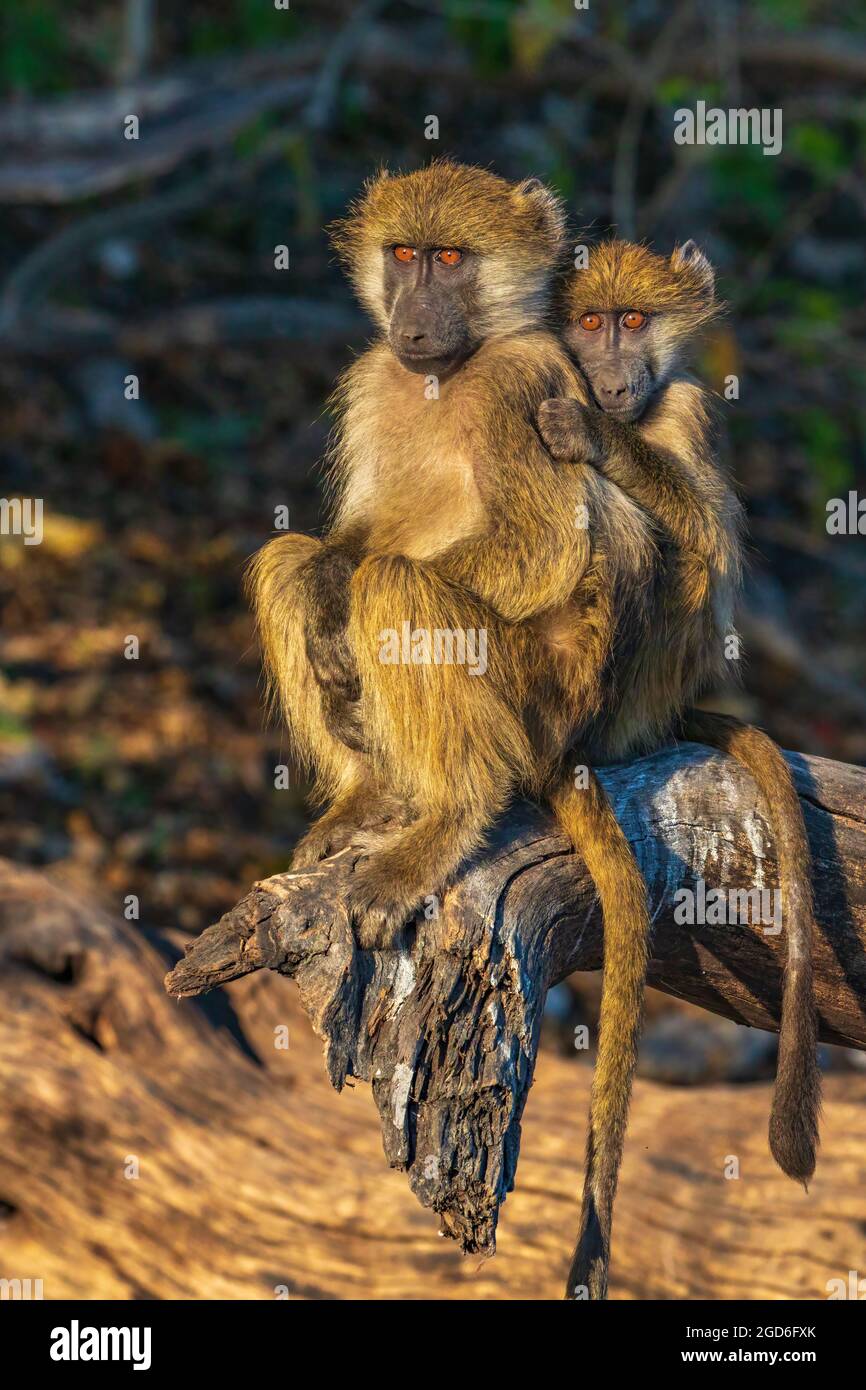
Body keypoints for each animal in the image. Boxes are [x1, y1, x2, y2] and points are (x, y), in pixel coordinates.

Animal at [246, 162, 665, 1300]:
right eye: (404, 256)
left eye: (451, 259)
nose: (416, 323)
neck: (447, 375)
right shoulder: (375, 378)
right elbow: (341, 543)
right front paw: (324, 609)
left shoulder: (527, 388)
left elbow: (532, 547)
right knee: (292, 561)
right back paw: (372, 796)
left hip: (531, 694)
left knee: (398, 585)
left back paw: (444, 819)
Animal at [536, 240, 821, 1290]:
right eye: (589, 322)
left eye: (632, 322)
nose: (611, 378)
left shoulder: (691, 410)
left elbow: (704, 534)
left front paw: (590, 434)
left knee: (670, 546)